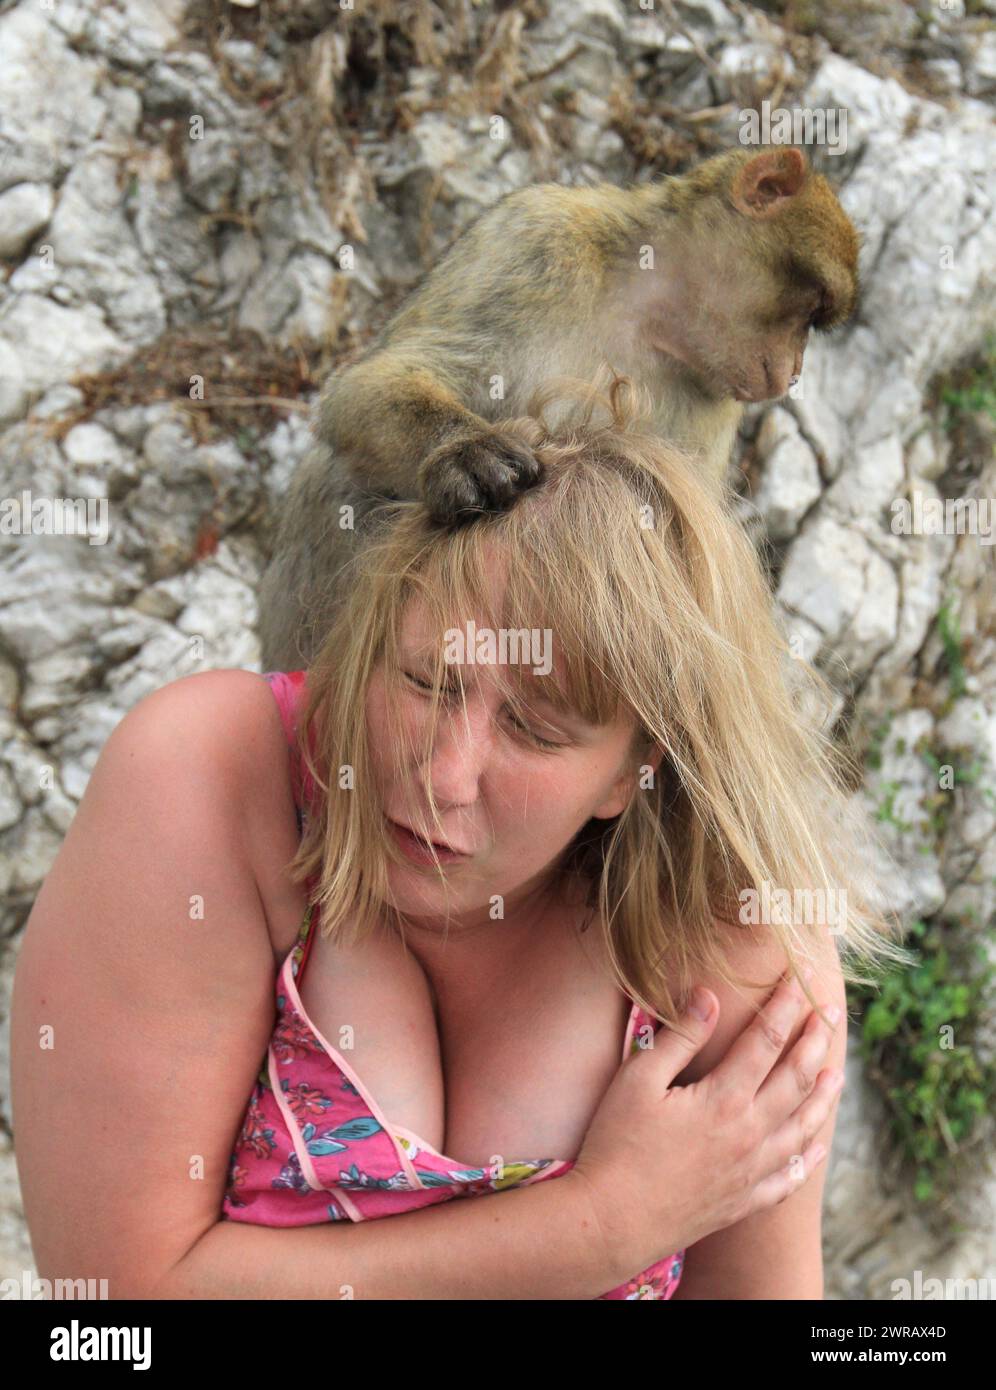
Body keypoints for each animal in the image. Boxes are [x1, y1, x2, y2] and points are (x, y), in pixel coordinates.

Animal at [257, 144, 860, 670]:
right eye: (813, 309)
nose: (793, 372)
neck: (648, 311)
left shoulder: (714, 404)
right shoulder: (536, 235)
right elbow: (369, 382)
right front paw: (463, 452)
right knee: (339, 479)